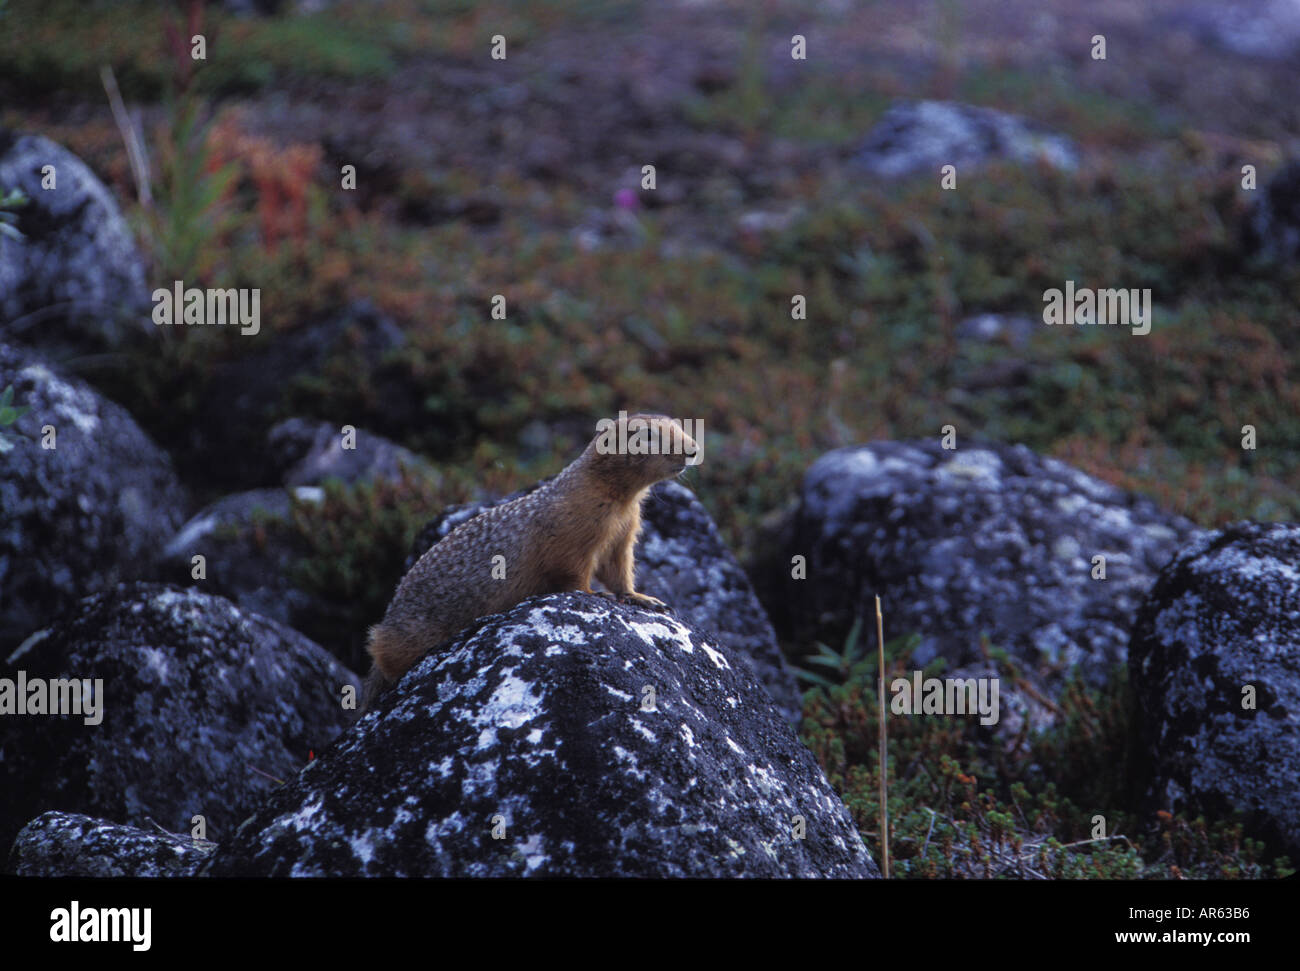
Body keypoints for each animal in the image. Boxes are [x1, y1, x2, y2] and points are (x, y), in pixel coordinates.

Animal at [361, 413, 700, 709]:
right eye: (648, 435)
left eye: (677, 424)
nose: (694, 449)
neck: (621, 497)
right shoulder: (574, 531)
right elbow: (573, 570)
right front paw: (595, 594)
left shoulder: (623, 534)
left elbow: (619, 567)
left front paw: (642, 598)